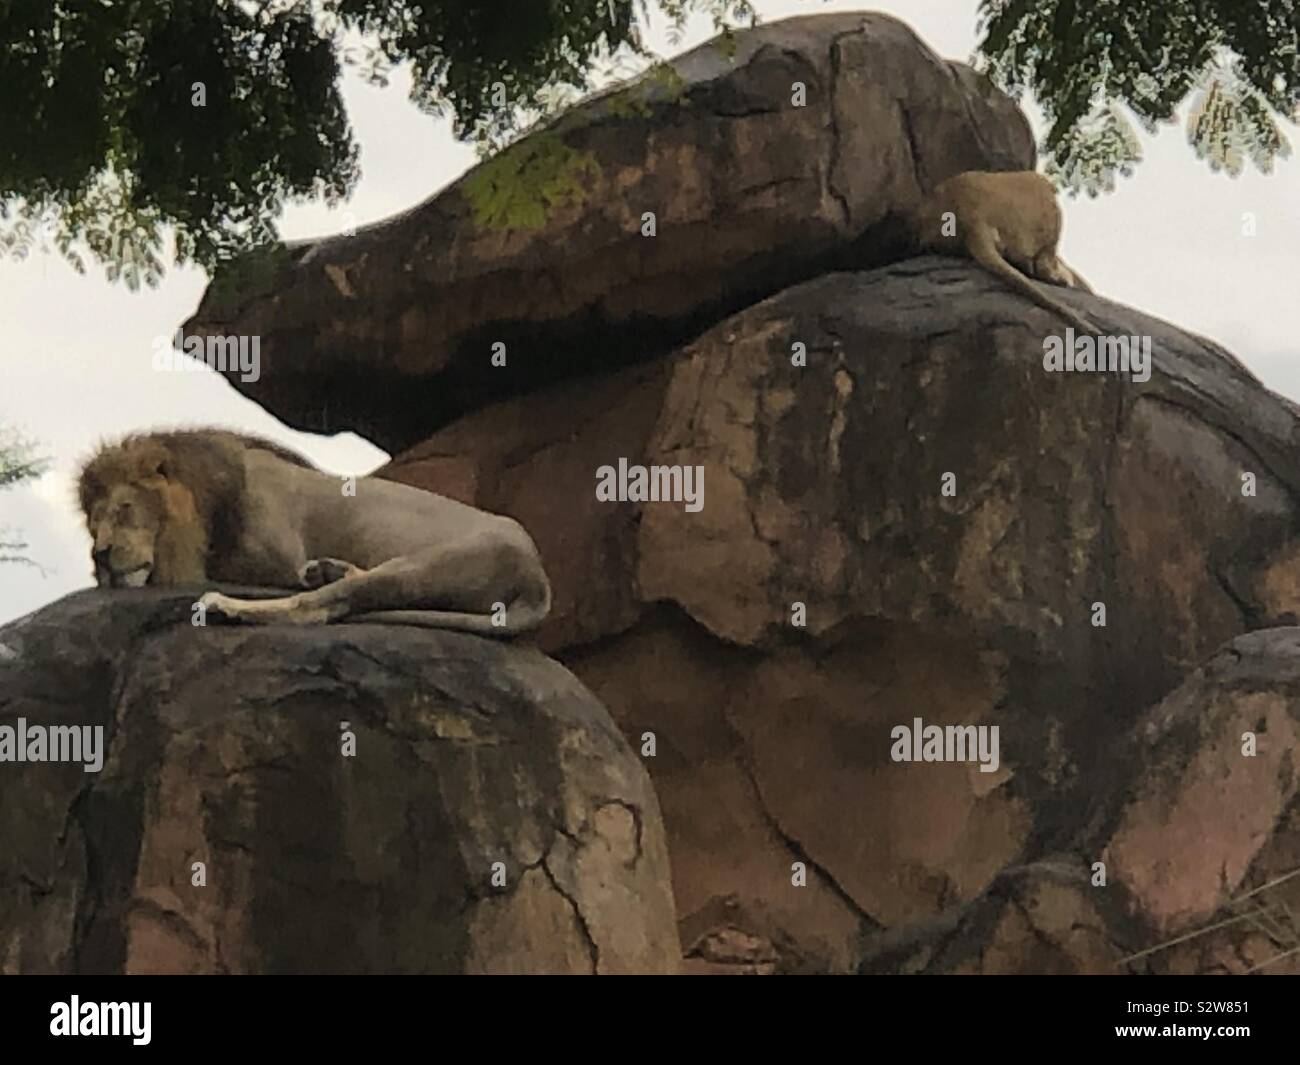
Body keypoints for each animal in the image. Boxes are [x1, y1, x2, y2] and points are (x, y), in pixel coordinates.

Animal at [77, 429, 552, 636]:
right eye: (92, 523)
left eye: (124, 509)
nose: (99, 556)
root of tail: (538, 577)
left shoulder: (274, 555)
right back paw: (326, 570)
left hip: (424, 563)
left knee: (316, 607)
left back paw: (225, 606)